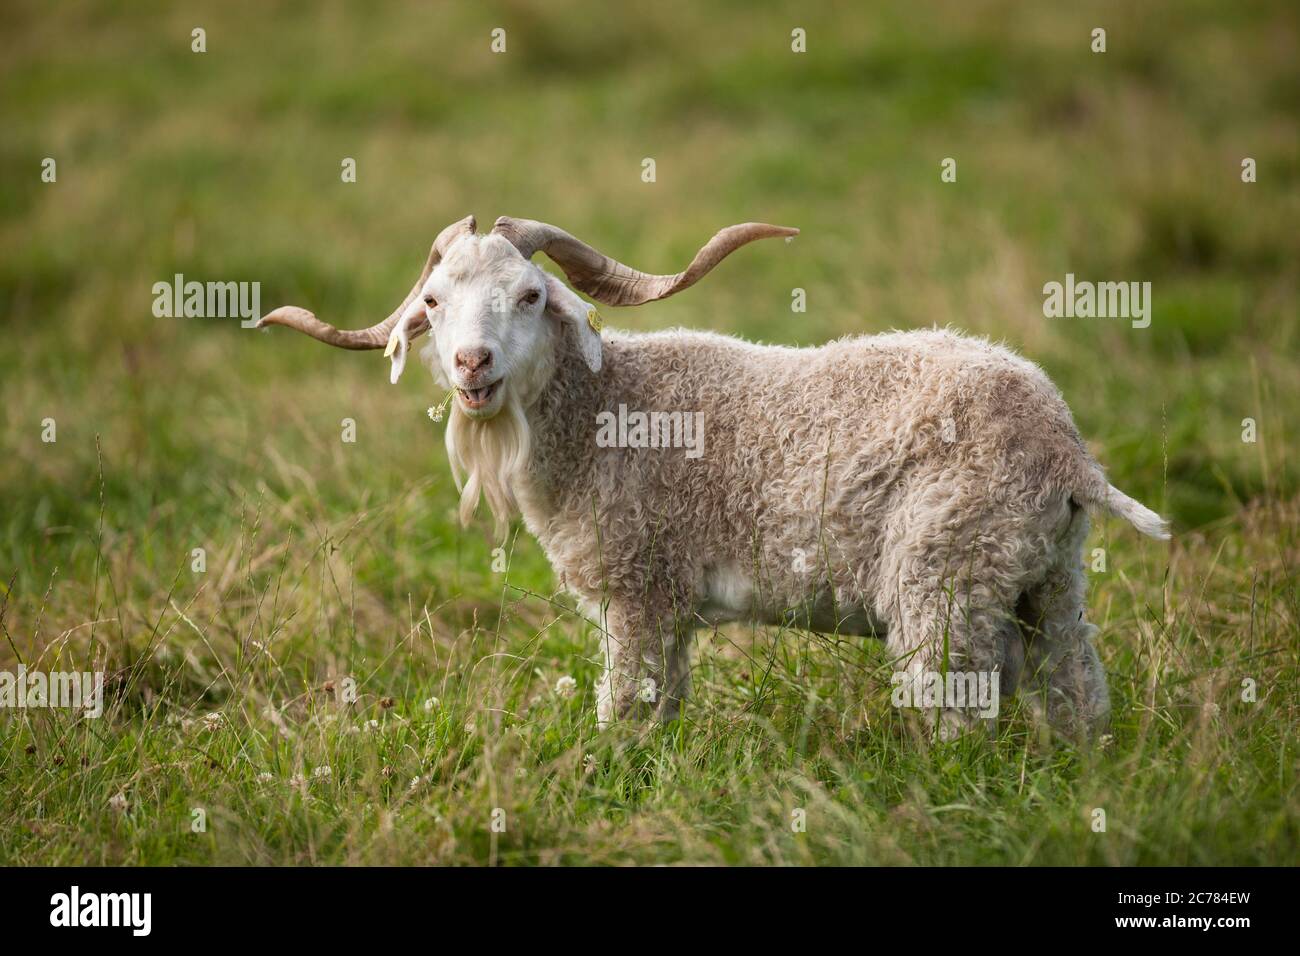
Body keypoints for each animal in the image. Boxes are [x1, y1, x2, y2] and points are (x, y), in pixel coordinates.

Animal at [258, 214, 1169, 738]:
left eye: (529, 296)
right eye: (434, 302)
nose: (471, 365)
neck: (605, 408)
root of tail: (1062, 446)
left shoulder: (636, 586)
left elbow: (623, 708)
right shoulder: (669, 605)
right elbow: (664, 706)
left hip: (944, 575)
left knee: (956, 707)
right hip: (1046, 575)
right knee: (1075, 686)